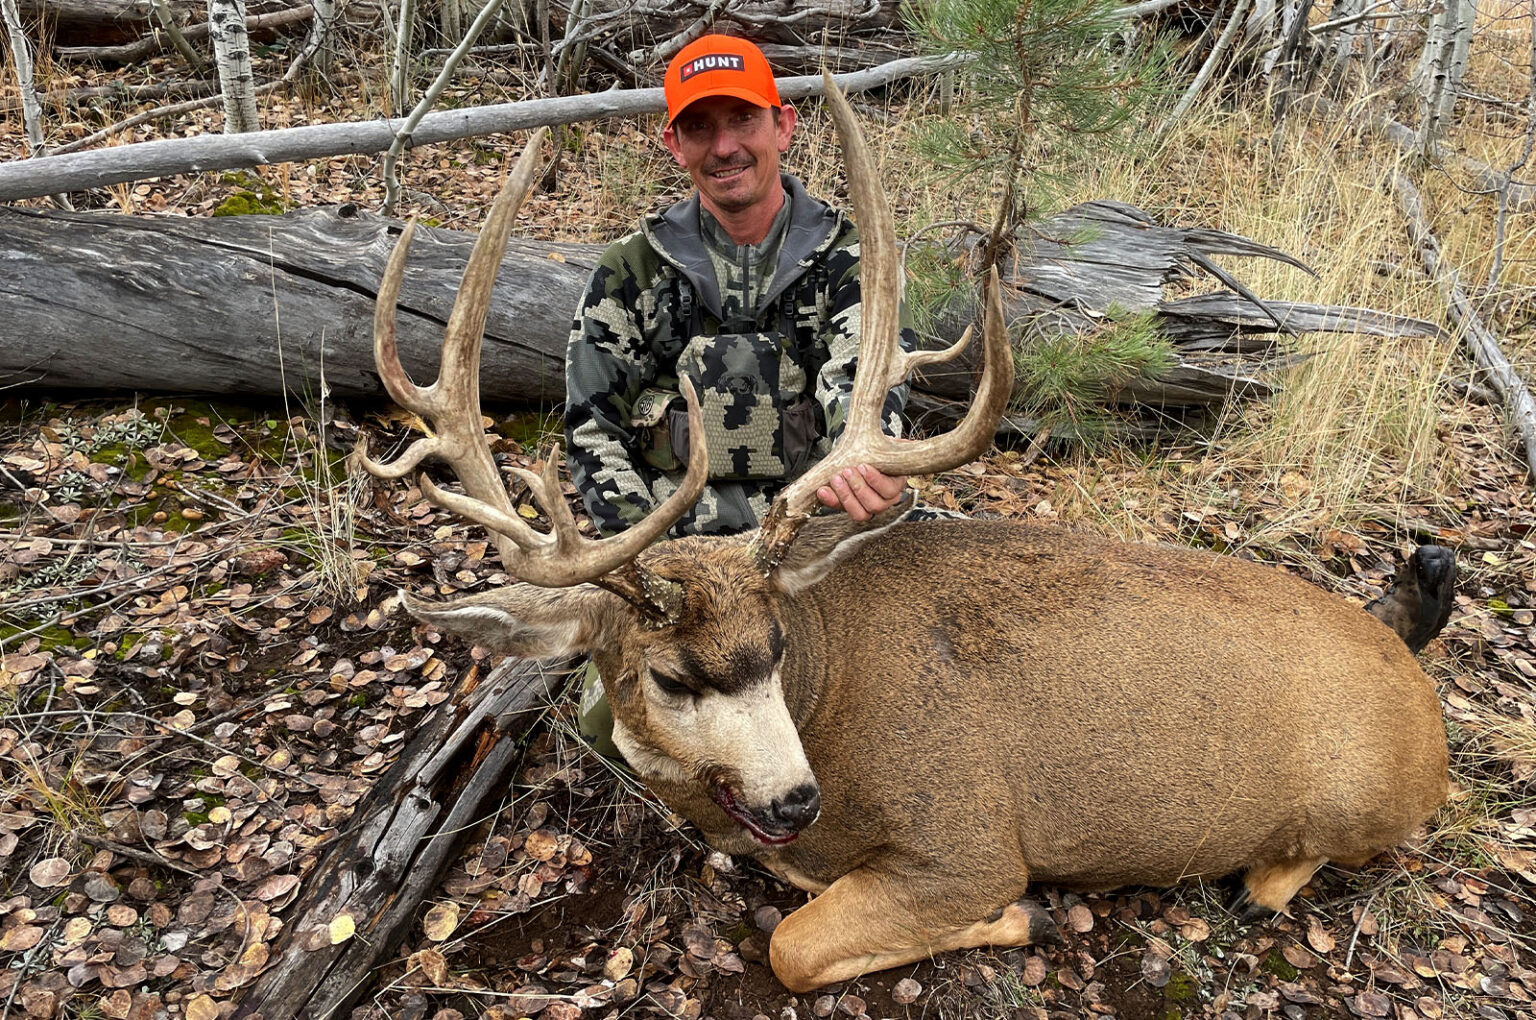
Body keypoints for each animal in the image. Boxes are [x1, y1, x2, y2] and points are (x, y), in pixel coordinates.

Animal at [354, 81, 1452, 993]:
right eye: (669, 675)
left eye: (777, 645)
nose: (795, 801)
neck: (827, 697)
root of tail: (1427, 713)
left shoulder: (967, 837)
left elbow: (797, 947)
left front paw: (1022, 922)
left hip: (1356, 804)